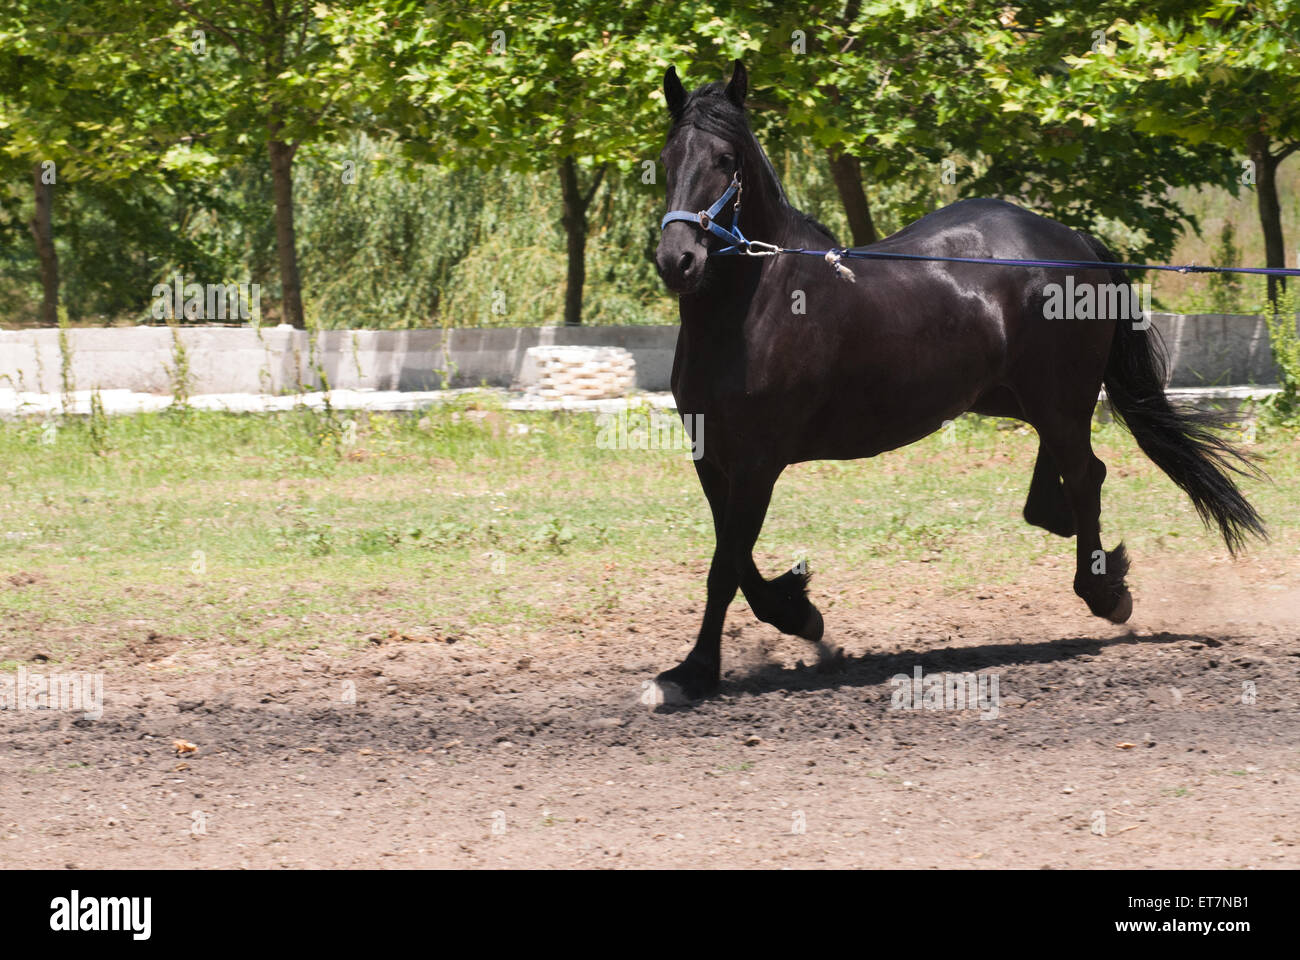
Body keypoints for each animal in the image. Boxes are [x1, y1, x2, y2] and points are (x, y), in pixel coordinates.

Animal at [650, 60, 1265, 703]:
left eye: (725, 159)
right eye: (666, 157)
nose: (677, 261)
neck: (759, 305)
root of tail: (1075, 242)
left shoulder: (757, 462)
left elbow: (725, 565)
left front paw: (694, 671)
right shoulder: (712, 458)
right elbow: (735, 558)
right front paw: (799, 616)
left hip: (1056, 395)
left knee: (1084, 473)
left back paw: (1105, 593)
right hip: (1013, 397)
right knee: (1065, 476)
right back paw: (1078, 541)